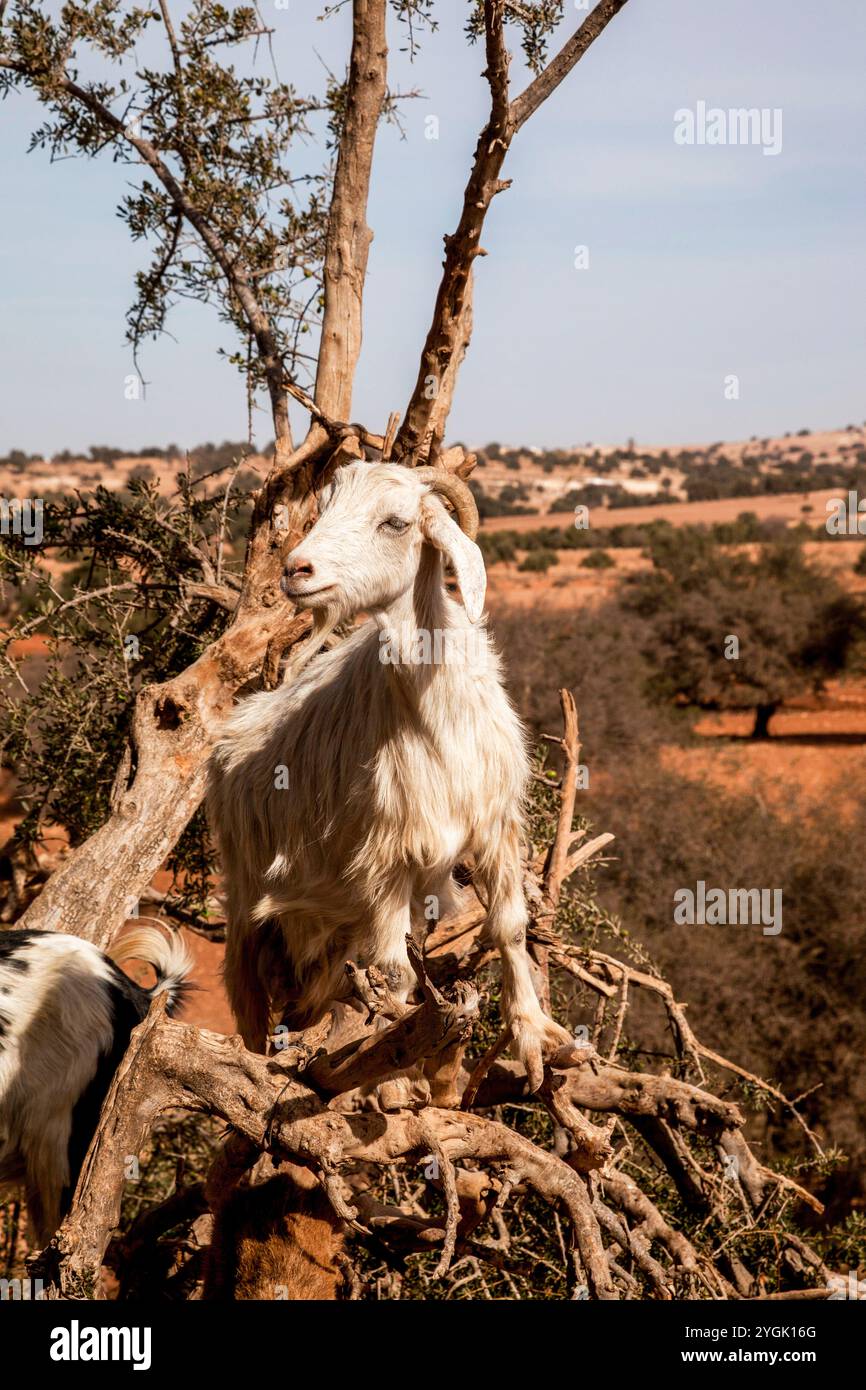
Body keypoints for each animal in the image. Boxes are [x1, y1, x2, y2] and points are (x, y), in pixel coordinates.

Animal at [207, 461, 575, 1088]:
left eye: (396, 522)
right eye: (325, 505)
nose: (296, 570)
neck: (436, 716)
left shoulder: (493, 827)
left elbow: (509, 926)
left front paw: (532, 1039)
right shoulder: (382, 865)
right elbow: (396, 973)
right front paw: (395, 1078)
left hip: (323, 922)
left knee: (315, 994)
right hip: (247, 896)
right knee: (248, 993)